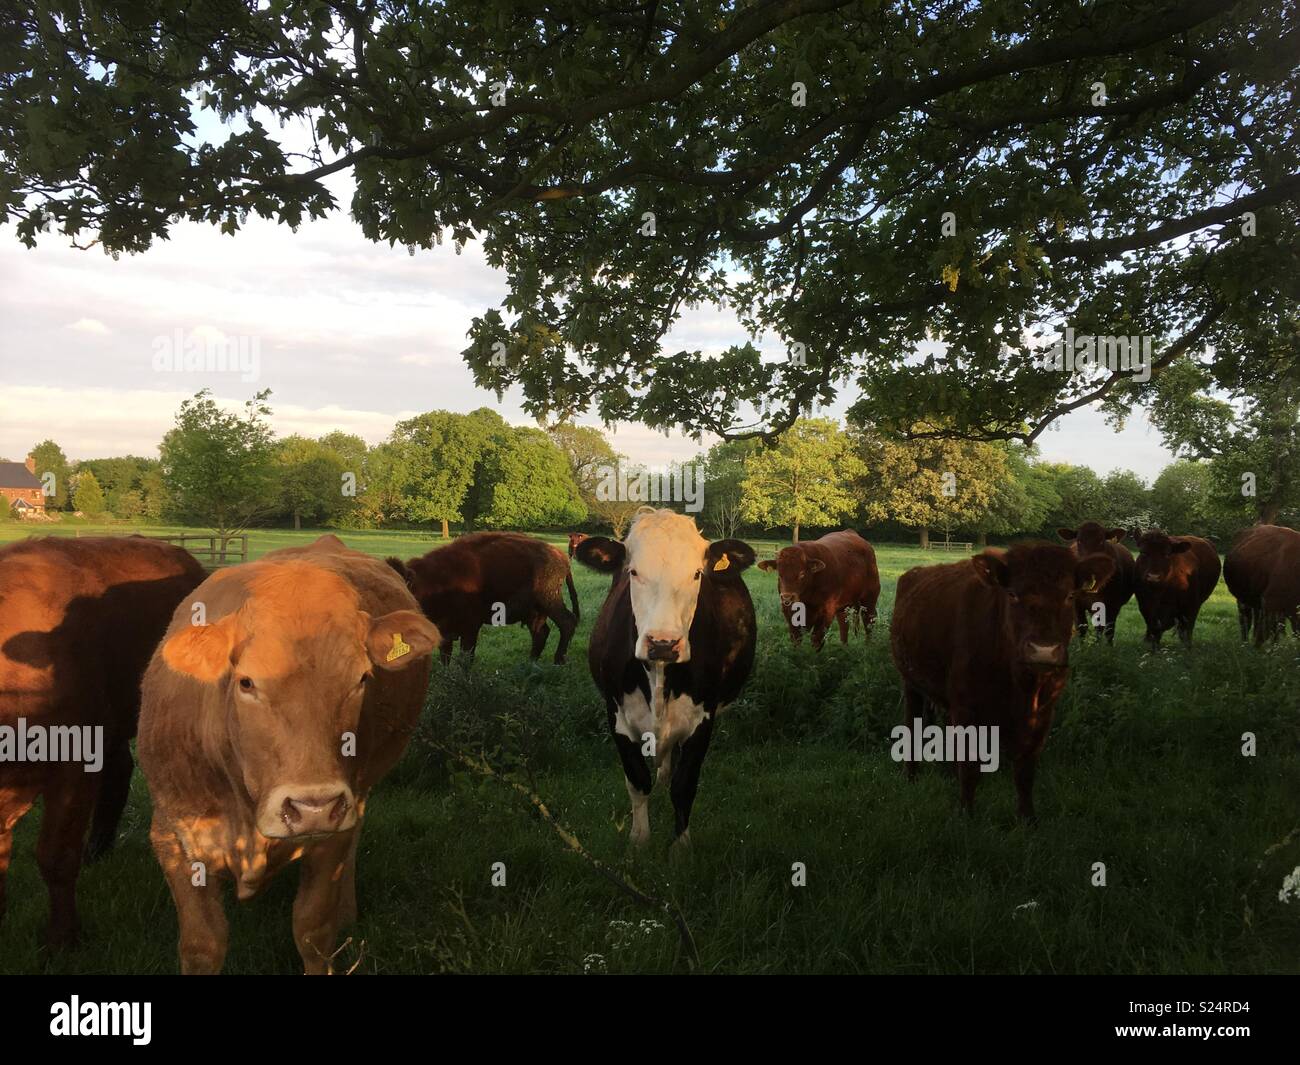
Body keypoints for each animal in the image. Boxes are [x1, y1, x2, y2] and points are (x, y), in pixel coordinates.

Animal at [137, 534, 439, 974]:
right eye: (246, 682)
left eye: (362, 678)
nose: (314, 807)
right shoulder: (172, 837)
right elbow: (202, 944)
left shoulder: (332, 833)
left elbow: (313, 931)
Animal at [388, 532, 580, 665]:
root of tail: (561, 557)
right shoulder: (445, 631)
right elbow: (445, 657)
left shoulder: (471, 627)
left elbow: (465, 658)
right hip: (535, 612)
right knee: (541, 633)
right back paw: (530, 664)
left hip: (549, 601)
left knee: (567, 622)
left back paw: (558, 661)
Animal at [574, 508, 756, 847]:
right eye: (633, 572)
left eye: (697, 574)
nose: (663, 643)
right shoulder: (616, 717)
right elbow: (637, 780)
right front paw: (639, 838)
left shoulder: (703, 720)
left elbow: (684, 788)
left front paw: (681, 847)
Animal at [890, 543, 1115, 821]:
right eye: (1012, 594)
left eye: (1070, 595)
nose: (1043, 651)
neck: (1022, 687)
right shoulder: (966, 707)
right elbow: (970, 765)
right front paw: (966, 815)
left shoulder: (1044, 712)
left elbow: (1025, 771)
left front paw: (1027, 819)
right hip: (910, 682)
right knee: (912, 724)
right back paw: (910, 776)